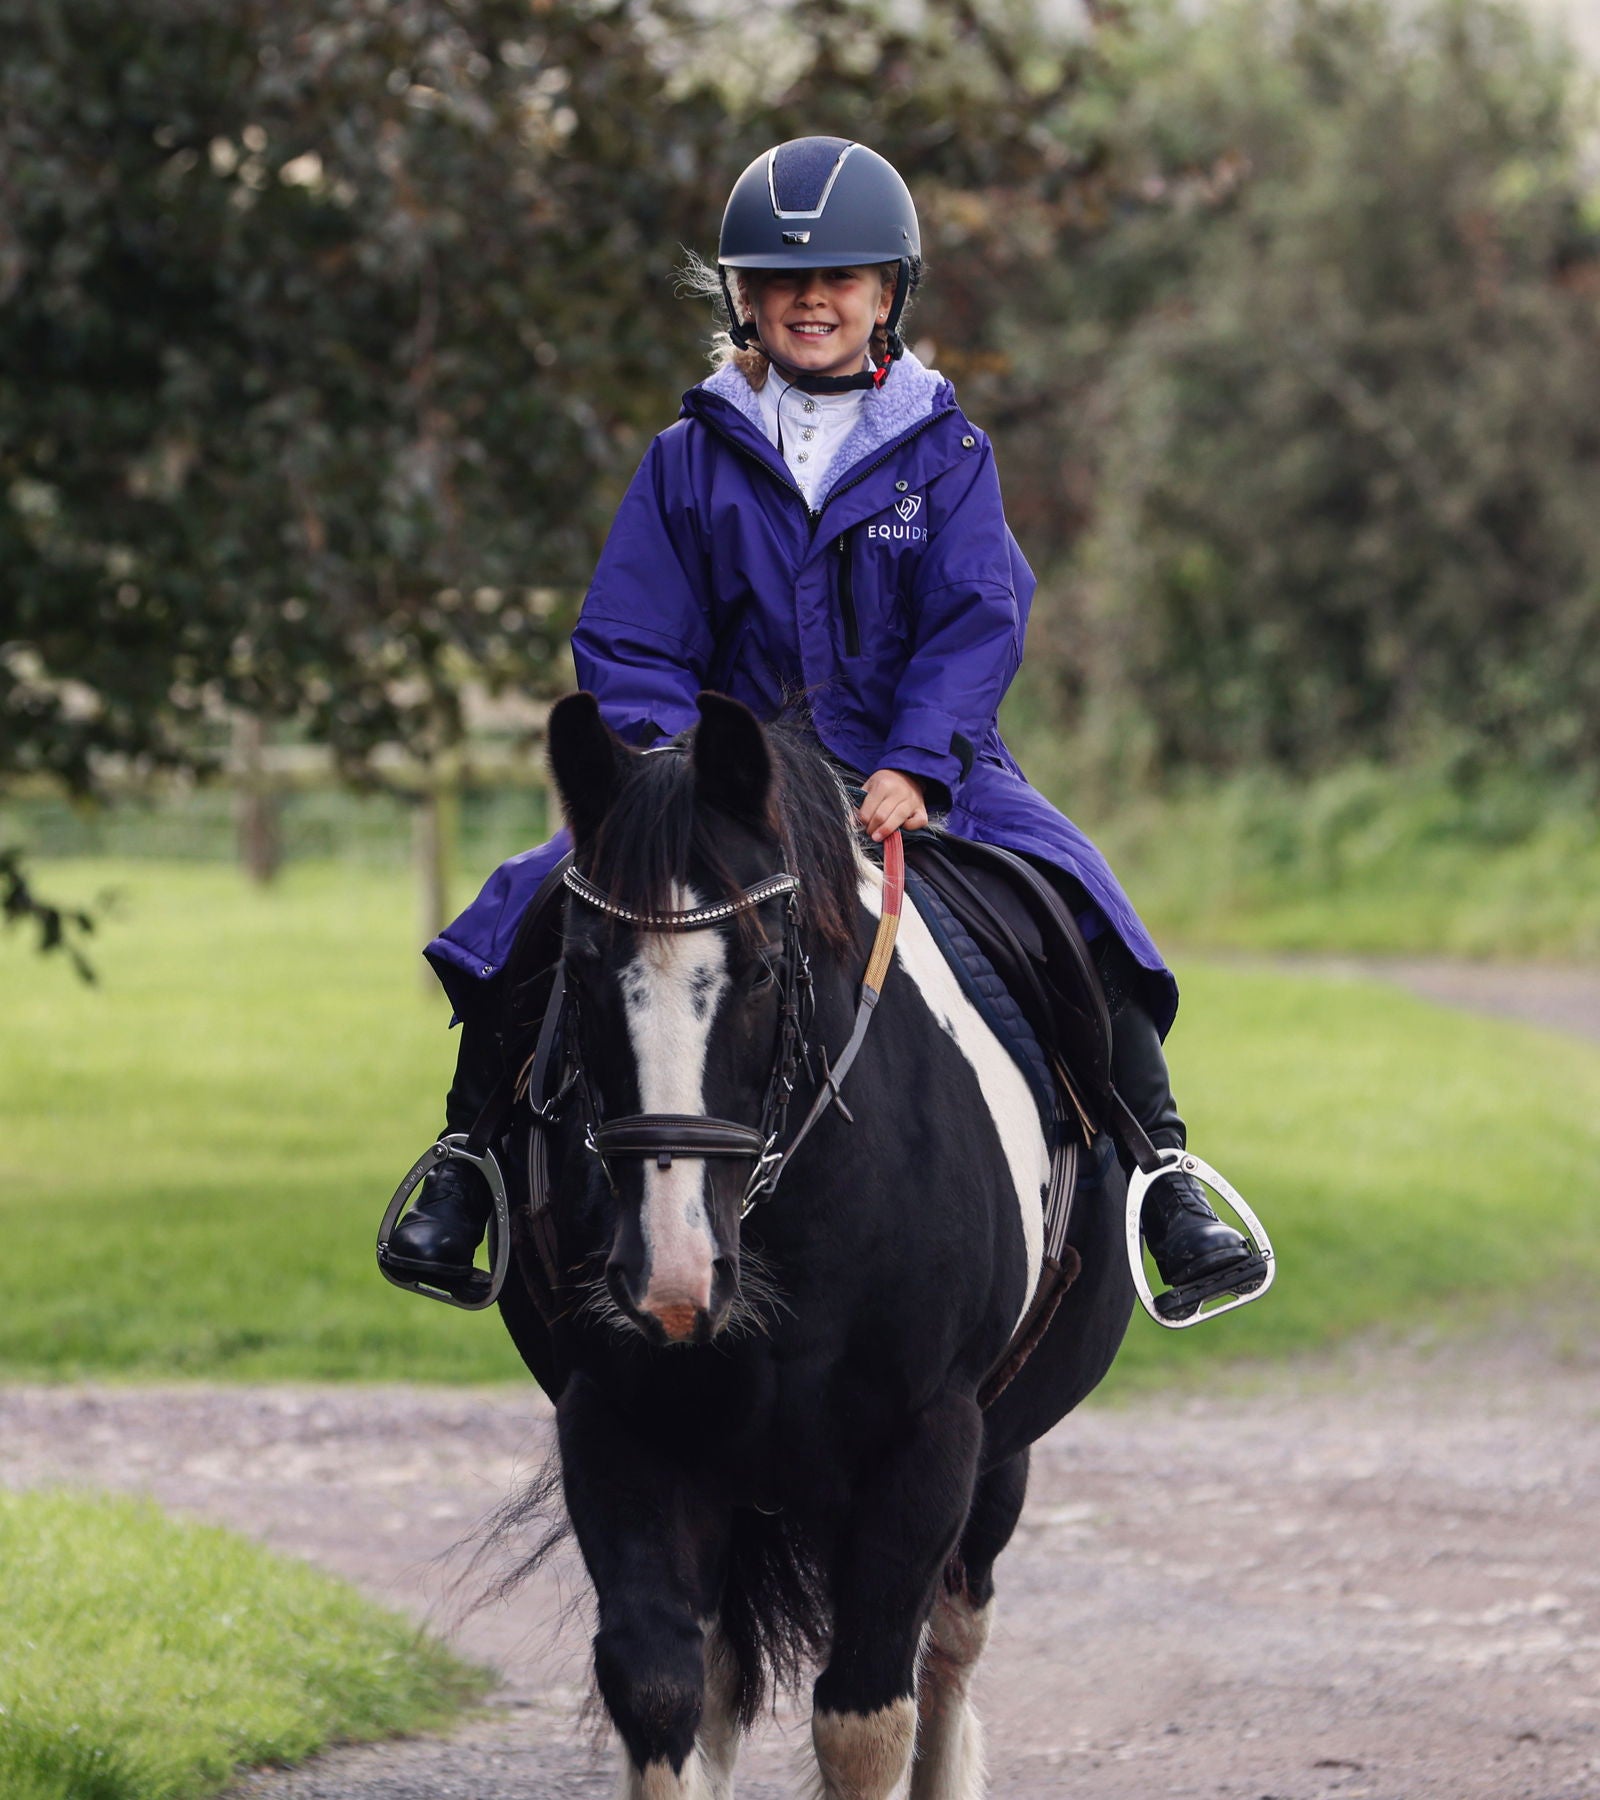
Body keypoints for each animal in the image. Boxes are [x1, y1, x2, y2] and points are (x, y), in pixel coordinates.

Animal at [491, 689, 1136, 1800]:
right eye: (576, 969)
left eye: (756, 972)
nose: (671, 1277)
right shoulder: (617, 1423)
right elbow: (658, 1686)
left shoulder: (929, 1441)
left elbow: (867, 1719)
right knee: (715, 1676)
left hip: (998, 1458)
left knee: (951, 1650)